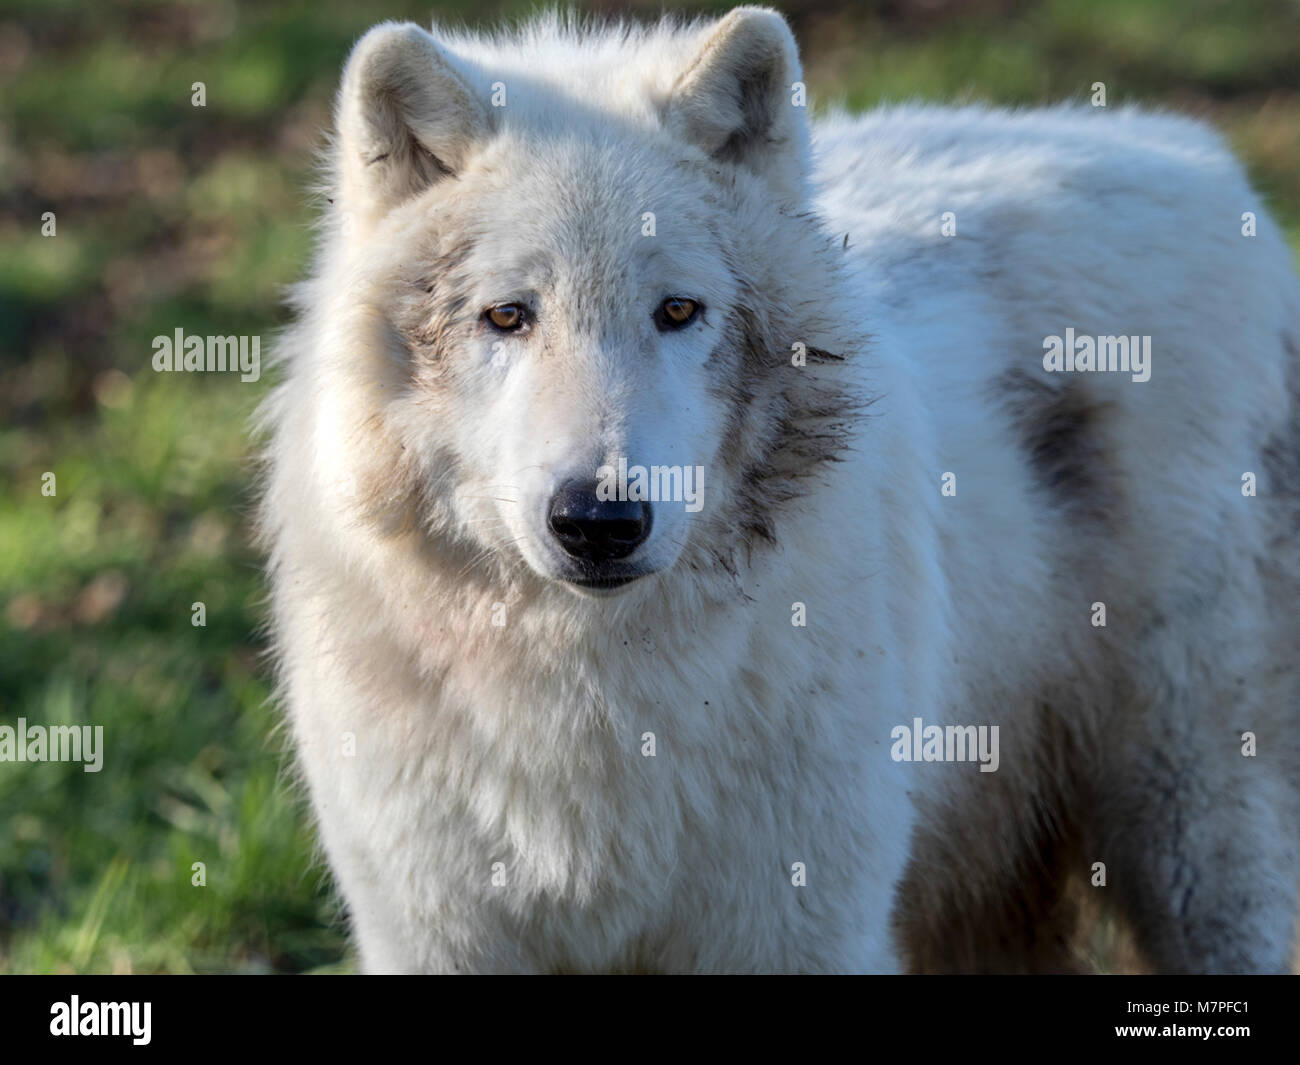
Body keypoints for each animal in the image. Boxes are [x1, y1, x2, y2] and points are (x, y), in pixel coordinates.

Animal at [259, 7, 1300, 973]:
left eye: (678, 311)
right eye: (508, 316)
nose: (600, 520)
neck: (594, 697)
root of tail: (1199, 156)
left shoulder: (796, 929)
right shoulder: (438, 935)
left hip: (1195, 834)